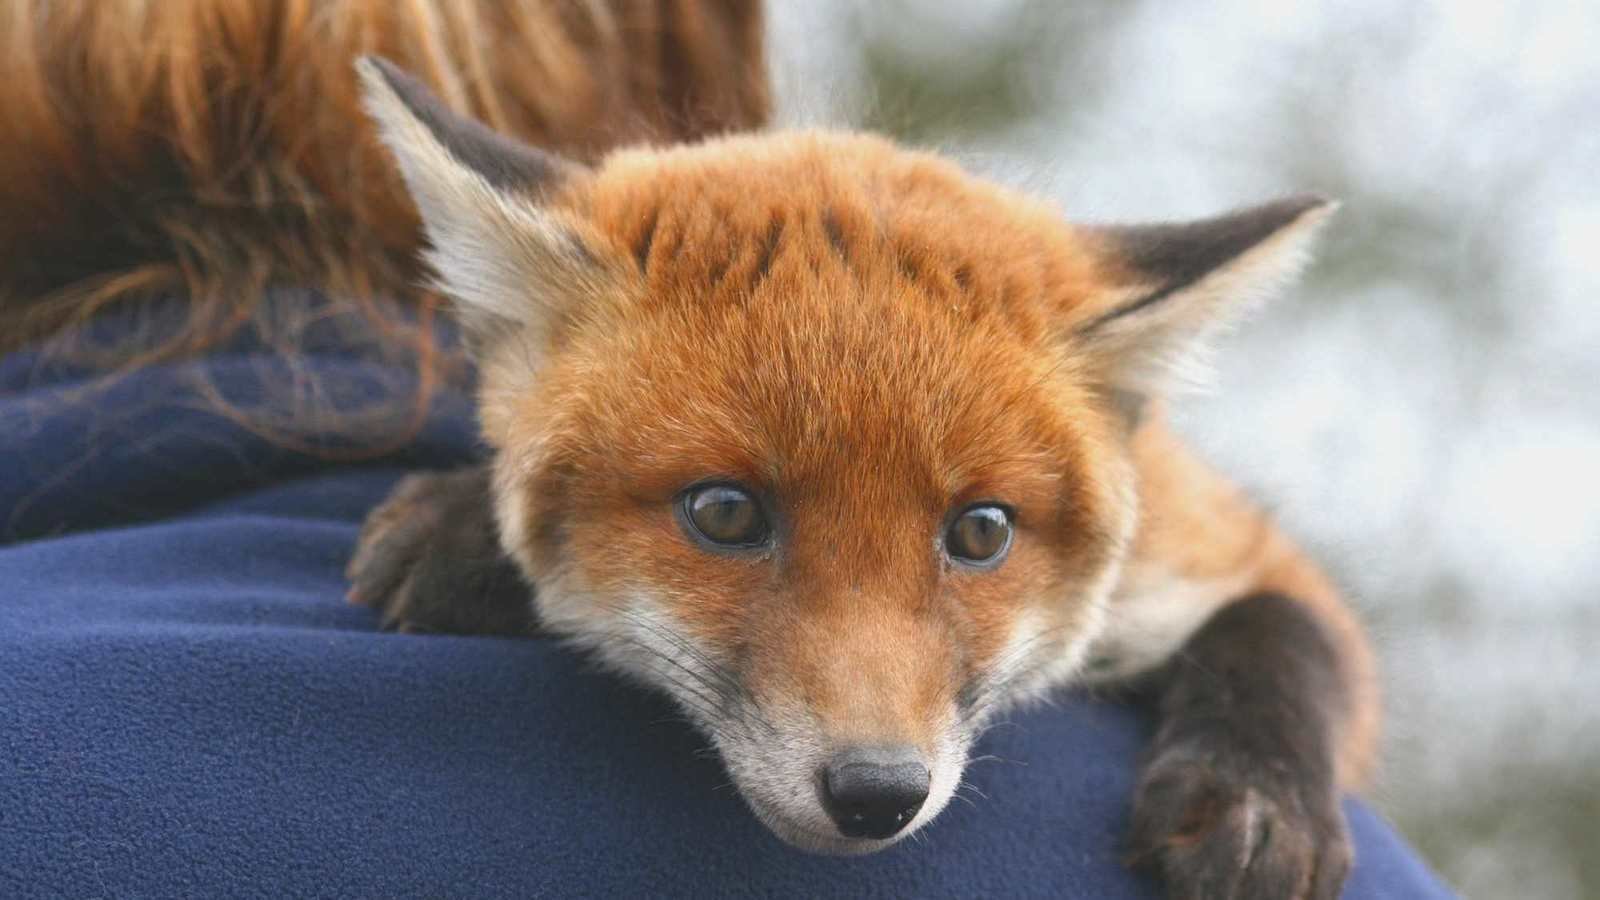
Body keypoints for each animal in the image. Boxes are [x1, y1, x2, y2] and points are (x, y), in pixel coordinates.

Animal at [343, 58, 1378, 900]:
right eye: (725, 514)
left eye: (981, 531)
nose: (877, 793)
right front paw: (463, 530)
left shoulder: (1211, 542)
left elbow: (1290, 627)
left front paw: (1257, 801)